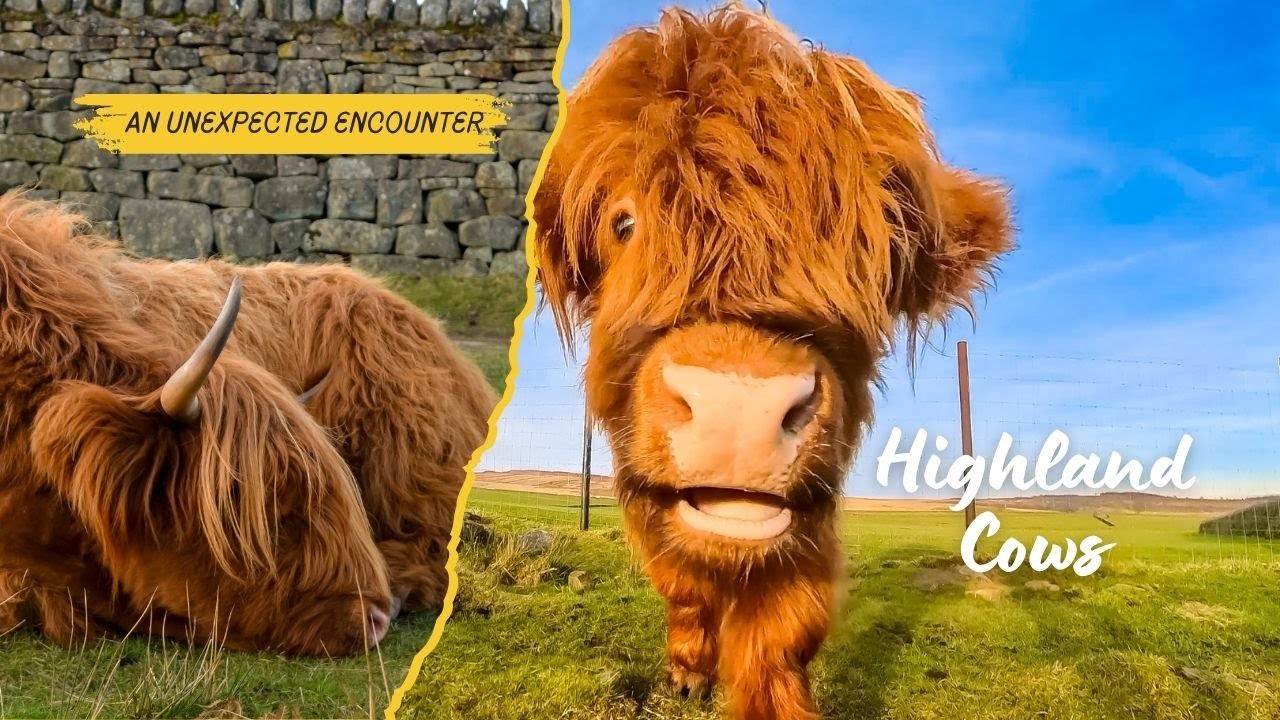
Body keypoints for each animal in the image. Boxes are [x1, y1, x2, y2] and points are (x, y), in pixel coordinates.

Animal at [532, 5, 1014, 719]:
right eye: (624, 223)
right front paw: (688, 672)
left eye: (869, 251)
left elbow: (782, 635)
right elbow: (682, 585)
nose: (739, 408)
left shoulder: (811, 516)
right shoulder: (644, 499)